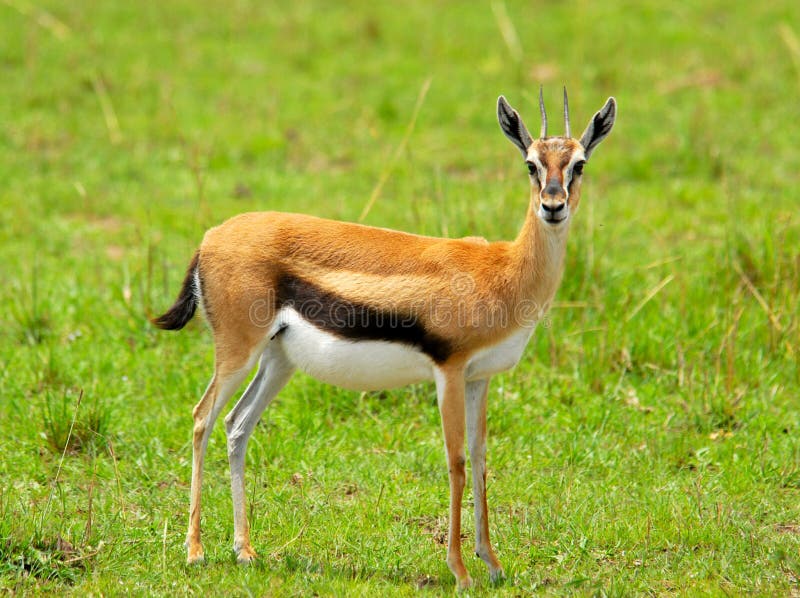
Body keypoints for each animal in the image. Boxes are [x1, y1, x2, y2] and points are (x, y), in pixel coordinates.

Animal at [153, 88, 616, 589]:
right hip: (238, 352)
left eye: (579, 163)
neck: (503, 272)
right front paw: (460, 571)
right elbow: (455, 462)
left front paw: (492, 563)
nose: (553, 205)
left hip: (278, 361)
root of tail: (210, 237)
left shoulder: (480, 377)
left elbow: (479, 459)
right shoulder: (449, 371)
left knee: (237, 425)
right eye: (531, 164)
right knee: (201, 418)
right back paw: (195, 551)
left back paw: (245, 550)